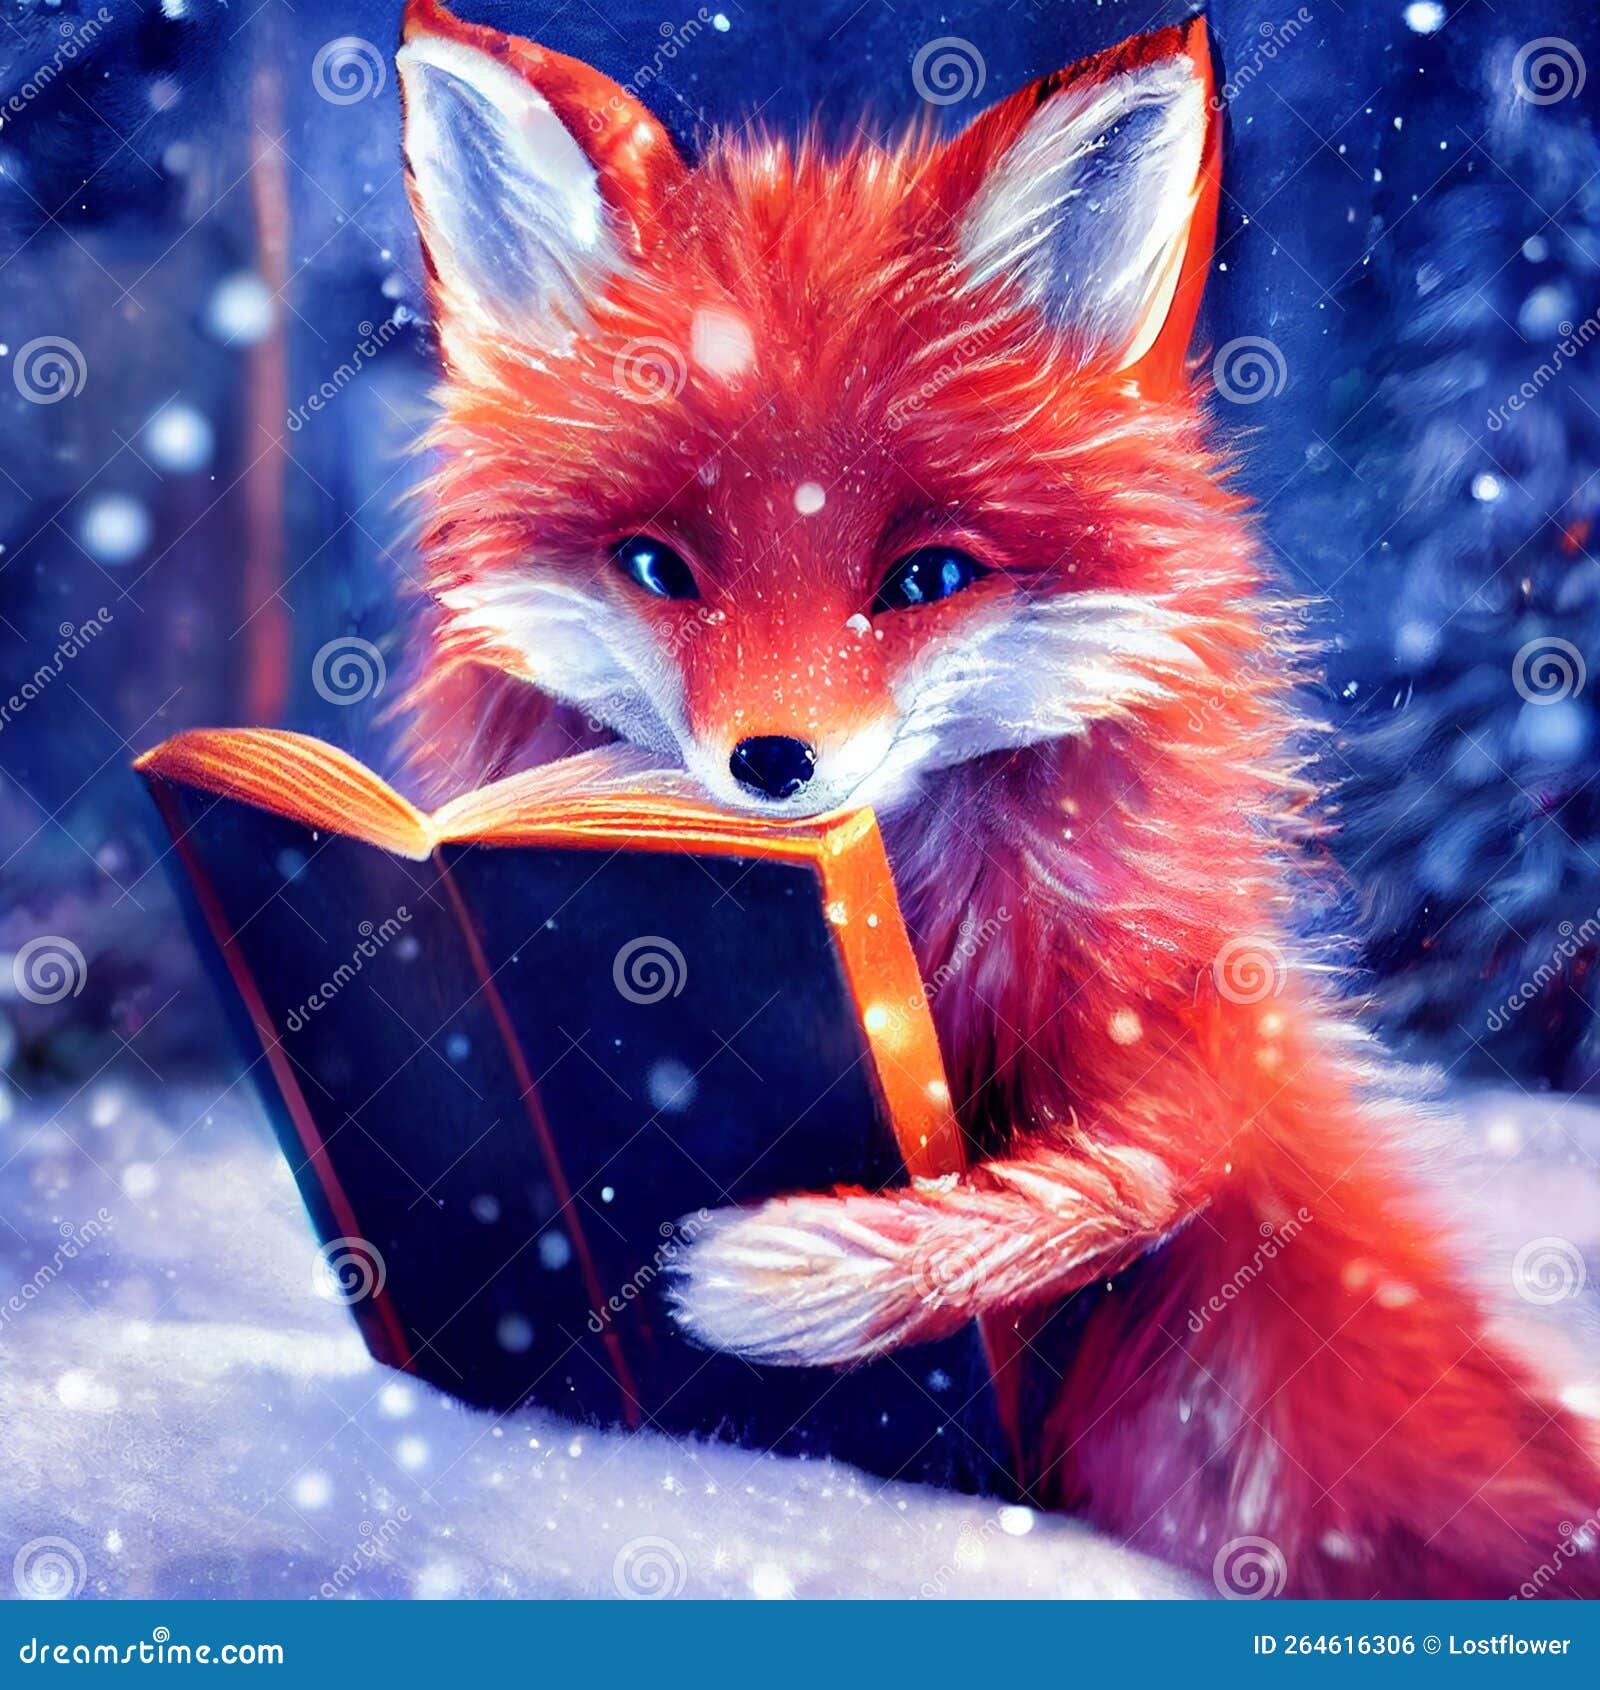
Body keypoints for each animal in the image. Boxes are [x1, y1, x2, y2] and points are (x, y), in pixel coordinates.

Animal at [391, 0, 1600, 1597]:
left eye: (926, 577)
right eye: (657, 567)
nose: (772, 763)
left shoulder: (1189, 1044)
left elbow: (1099, 1189)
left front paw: (775, 1277)